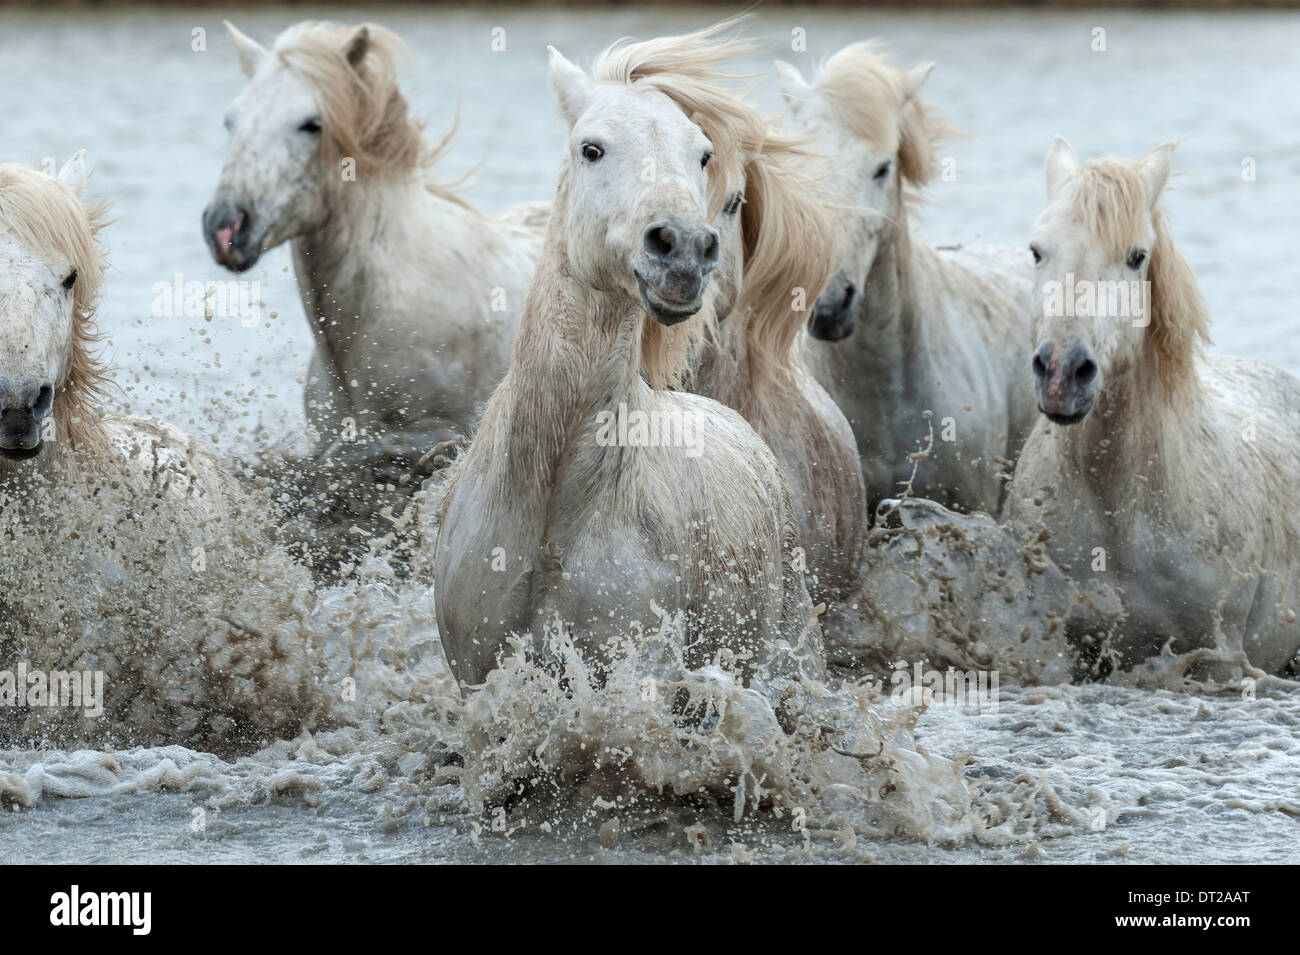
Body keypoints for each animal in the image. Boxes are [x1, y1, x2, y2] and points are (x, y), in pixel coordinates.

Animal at [432, 24, 820, 691]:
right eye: (592, 149)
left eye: (703, 155)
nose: (683, 250)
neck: (550, 501)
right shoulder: (476, 674)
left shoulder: (633, 667)